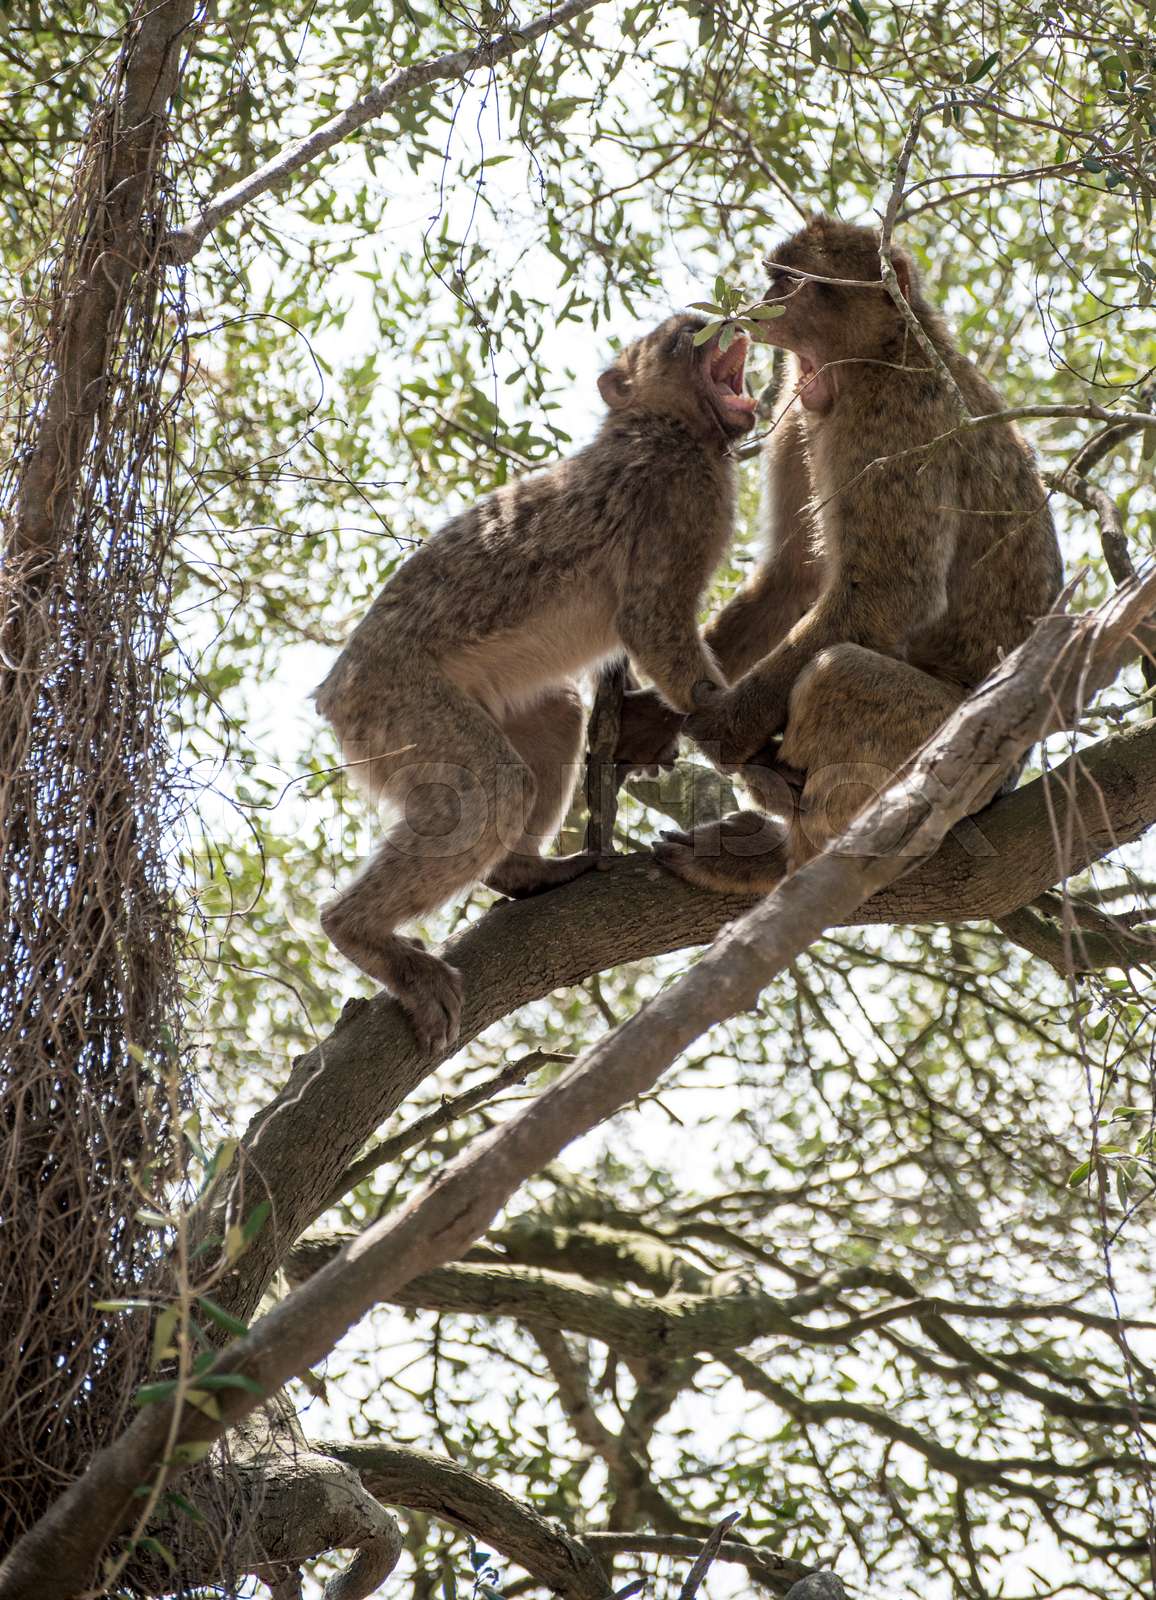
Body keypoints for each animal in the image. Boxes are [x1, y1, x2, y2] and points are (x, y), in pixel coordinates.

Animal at [314, 311, 758, 1052]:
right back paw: (359, 933)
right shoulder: (673, 495)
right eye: (682, 336)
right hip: (394, 705)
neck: (665, 428)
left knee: (555, 714)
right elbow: (648, 622)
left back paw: (523, 871)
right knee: (493, 788)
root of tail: (334, 692)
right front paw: (727, 723)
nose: (719, 321)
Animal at [642, 215, 1064, 891]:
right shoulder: (797, 409)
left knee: (838, 674)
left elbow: (886, 595)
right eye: (775, 277)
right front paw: (643, 716)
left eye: (794, 282)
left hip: (960, 767)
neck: (883, 351)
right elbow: (791, 579)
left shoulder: (893, 420)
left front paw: (723, 729)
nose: (759, 309)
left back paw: (794, 858)